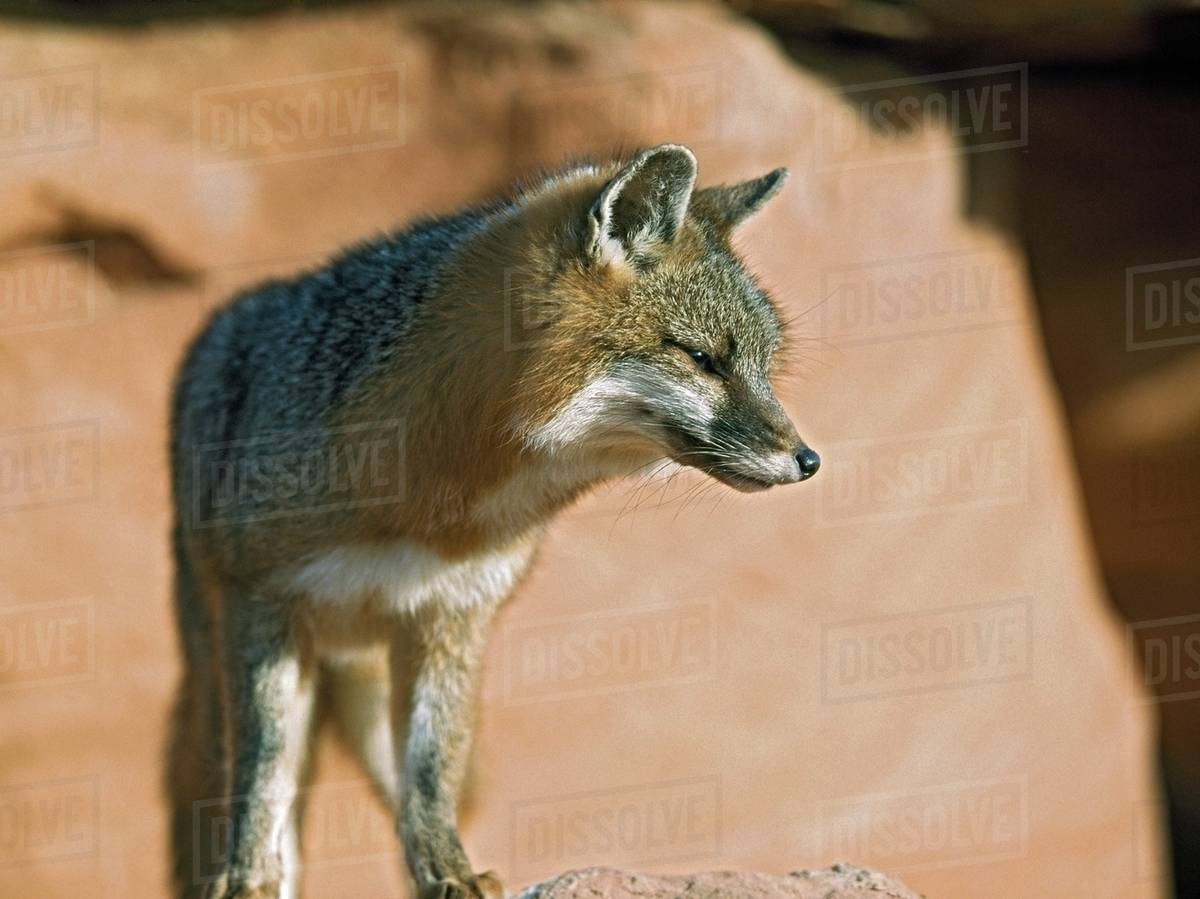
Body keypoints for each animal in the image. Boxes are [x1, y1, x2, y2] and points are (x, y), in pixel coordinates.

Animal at [166, 143, 820, 899]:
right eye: (703, 358)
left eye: (764, 366)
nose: (808, 459)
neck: (437, 504)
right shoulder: (265, 602)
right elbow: (262, 775)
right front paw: (244, 877)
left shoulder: (453, 614)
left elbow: (429, 776)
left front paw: (447, 872)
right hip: (218, 662)